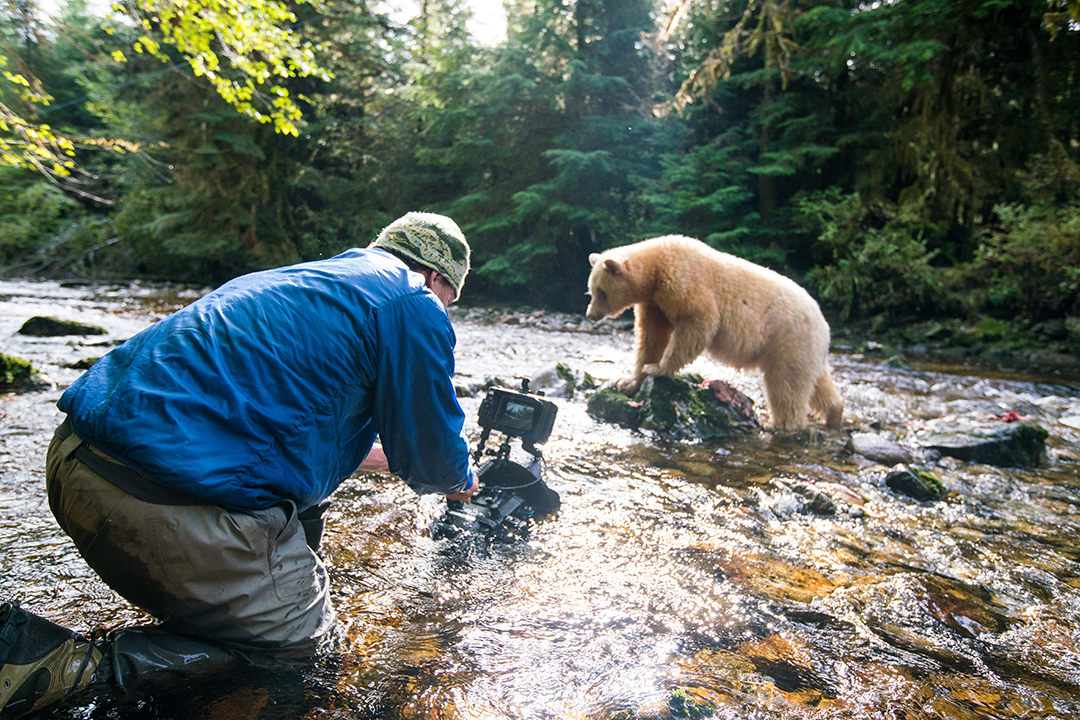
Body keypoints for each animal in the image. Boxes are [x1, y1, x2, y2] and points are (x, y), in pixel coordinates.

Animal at [585, 235, 843, 431]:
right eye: (591, 290)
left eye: (601, 291)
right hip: (808, 350)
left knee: (786, 384)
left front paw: (657, 368)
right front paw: (627, 381)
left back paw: (777, 424)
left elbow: (698, 323)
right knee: (818, 384)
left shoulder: (684, 282)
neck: (656, 269)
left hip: (787, 339)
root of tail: (824, 323)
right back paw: (834, 414)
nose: (591, 314)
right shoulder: (655, 304)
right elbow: (651, 337)